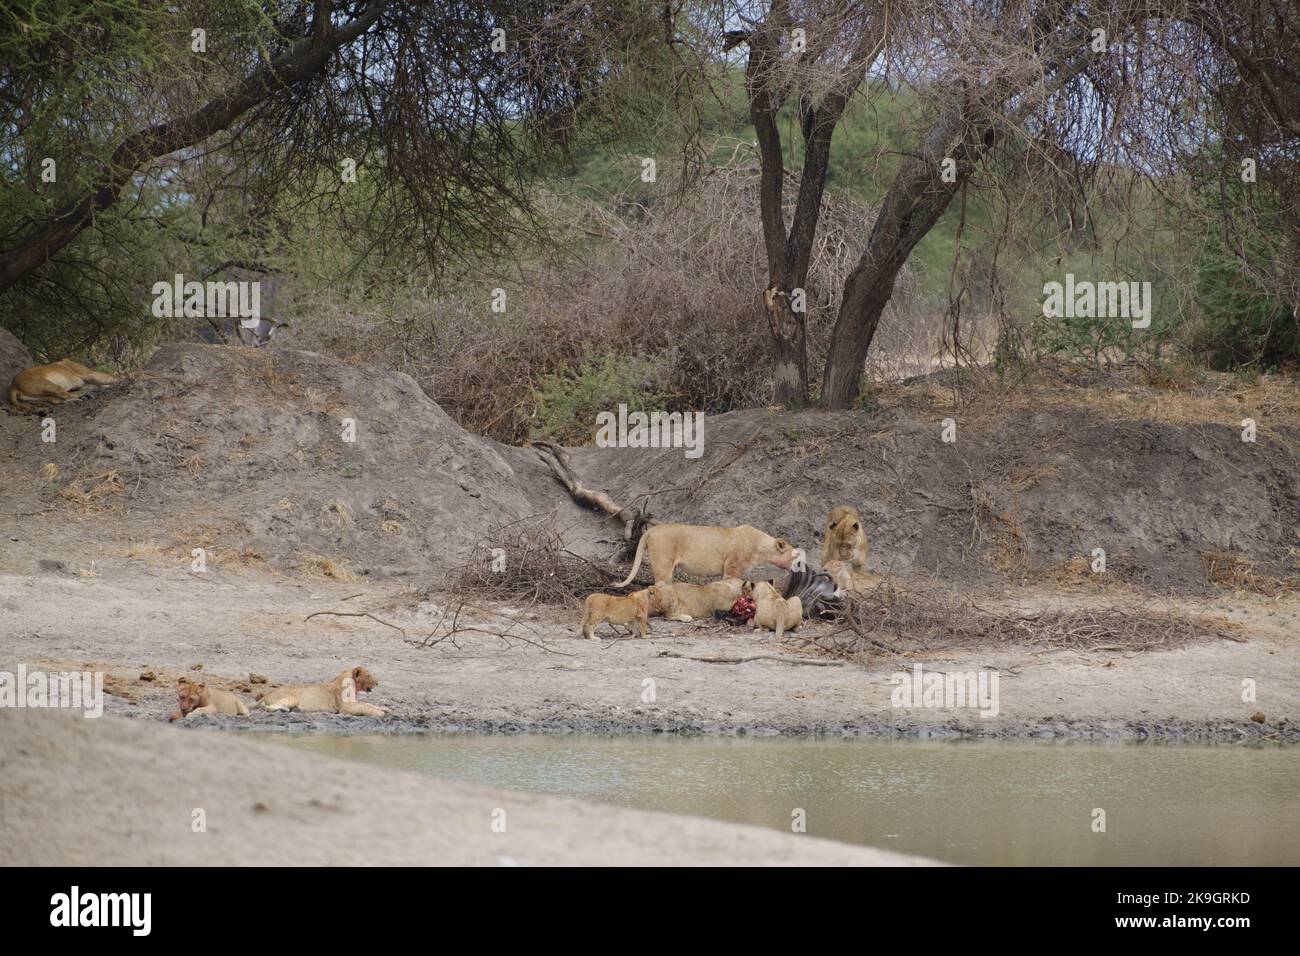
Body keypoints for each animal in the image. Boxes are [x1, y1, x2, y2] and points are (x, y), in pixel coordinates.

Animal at [256, 666, 387, 717]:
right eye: (368, 676)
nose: (378, 682)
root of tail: (266, 694)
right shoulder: (346, 708)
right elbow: (365, 707)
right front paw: (380, 713)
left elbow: (368, 704)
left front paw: (385, 709)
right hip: (292, 697)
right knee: (266, 707)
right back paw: (285, 709)